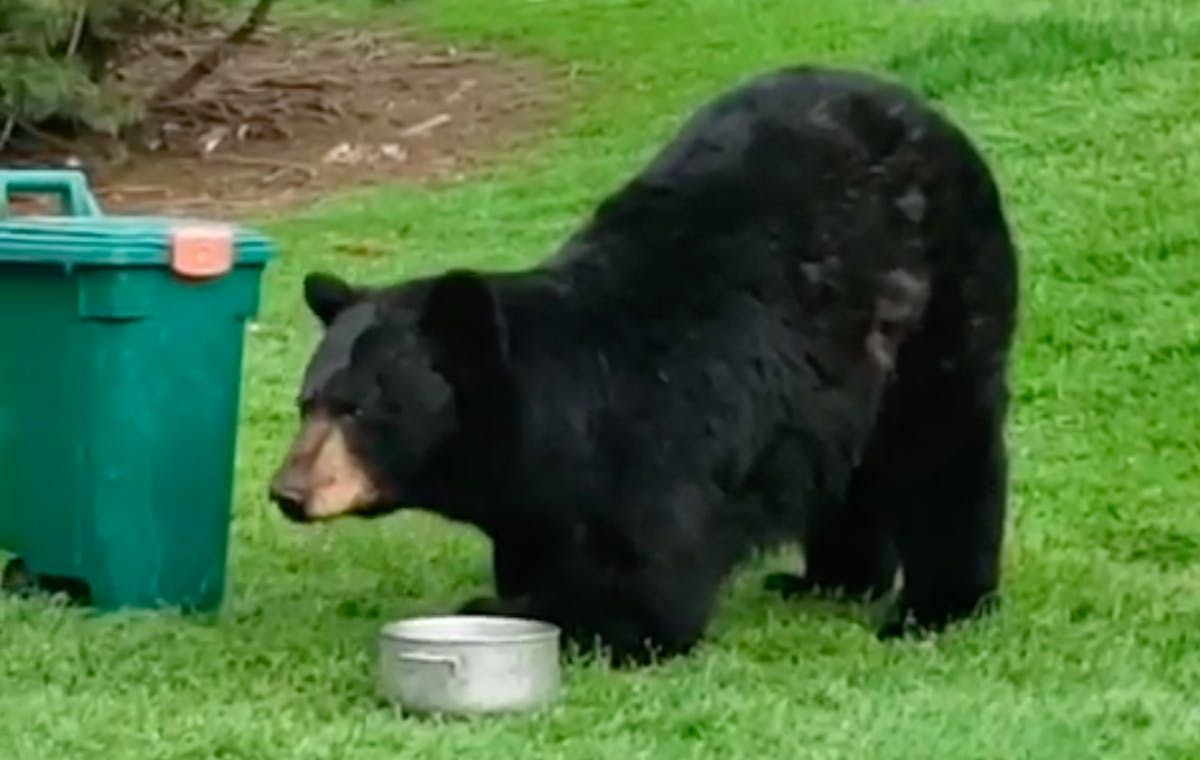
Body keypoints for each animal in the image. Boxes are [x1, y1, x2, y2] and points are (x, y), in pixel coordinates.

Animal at [268, 64, 1019, 664]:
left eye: (358, 407)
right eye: (308, 402)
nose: (288, 491)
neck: (548, 430)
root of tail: (931, 117)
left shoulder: (655, 455)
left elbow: (647, 598)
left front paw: (501, 609)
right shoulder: (535, 504)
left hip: (940, 302)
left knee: (944, 451)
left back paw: (938, 606)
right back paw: (828, 580)